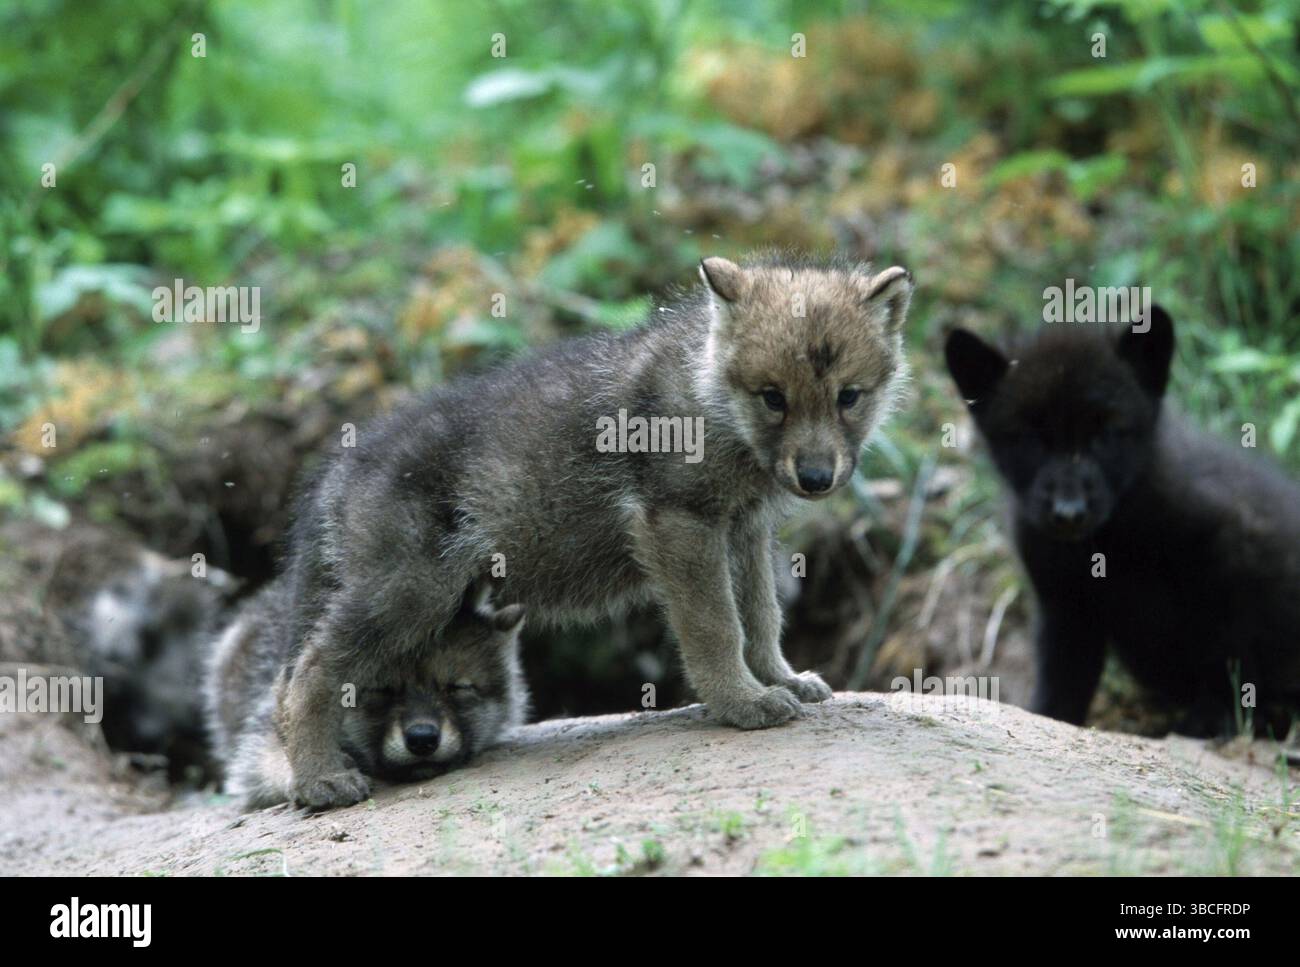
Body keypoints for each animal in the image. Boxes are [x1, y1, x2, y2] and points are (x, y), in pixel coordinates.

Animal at [271, 253, 913, 808]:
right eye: (773, 398)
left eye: (849, 397)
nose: (816, 478)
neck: (707, 394)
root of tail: (336, 472)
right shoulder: (679, 523)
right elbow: (716, 628)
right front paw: (741, 703)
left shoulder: (747, 529)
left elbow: (761, 617)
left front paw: (783, 680)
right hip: (413, 592)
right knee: (309, 672)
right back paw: (321, 781)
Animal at [944, 305, 1300, 735]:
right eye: (1030, 438)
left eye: (1106, 433)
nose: (1068, 513)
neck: (1109, 540)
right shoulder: (1063, 605)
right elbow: (1061, 684)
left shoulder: (1237, 550)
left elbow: (1232, 650)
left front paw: (1214, 718)